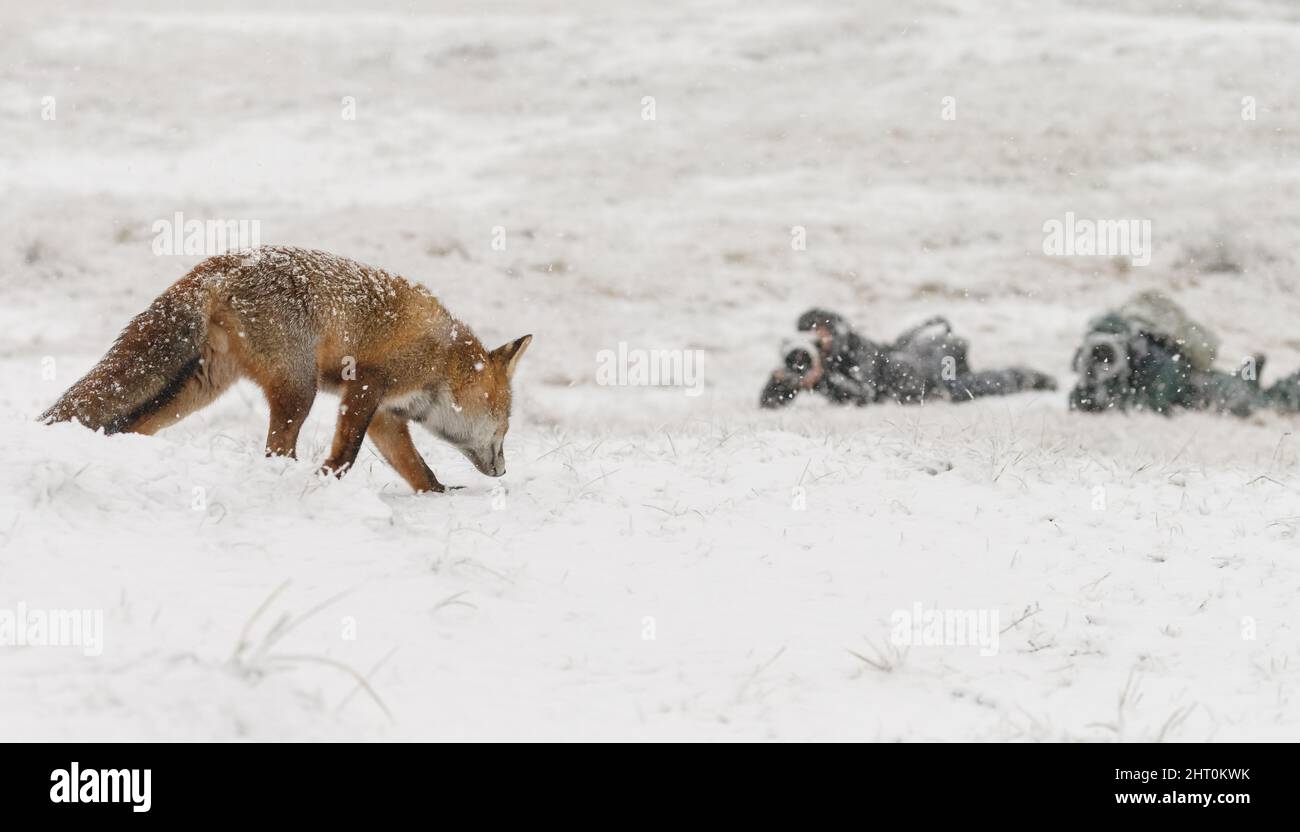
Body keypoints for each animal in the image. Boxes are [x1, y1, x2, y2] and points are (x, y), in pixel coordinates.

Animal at [41, 245, 532, 493]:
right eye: (505, 428)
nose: (503, 471)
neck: (443, 358)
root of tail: (227, 261)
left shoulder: (386, 417)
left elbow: (417, 469)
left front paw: (439, 495)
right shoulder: (368, 383)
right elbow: (348, 452)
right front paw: (327, 480)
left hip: (198, 389)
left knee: (131, 425)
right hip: (299, 389)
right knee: (277, 449)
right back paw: (286, 479)